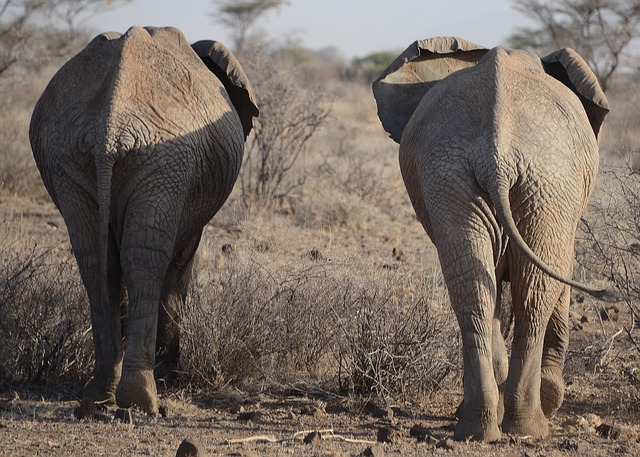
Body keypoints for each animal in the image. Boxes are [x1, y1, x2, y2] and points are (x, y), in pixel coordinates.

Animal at [29, 26, 259, 415]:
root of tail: (109, 124)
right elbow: (181, 260)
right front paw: (170, 379)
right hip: (164, 161)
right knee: (145, 260)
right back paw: (143, 398)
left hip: (71, 154)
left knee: (97, 262)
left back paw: (99, 397)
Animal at [372, 37, 612, 441]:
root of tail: (496, 158)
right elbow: (560, 275)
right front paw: (553, 398)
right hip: (546, 182)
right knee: (534, 295)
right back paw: (532, 425)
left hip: (462, 179)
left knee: (472, 289)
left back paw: (477, 427)